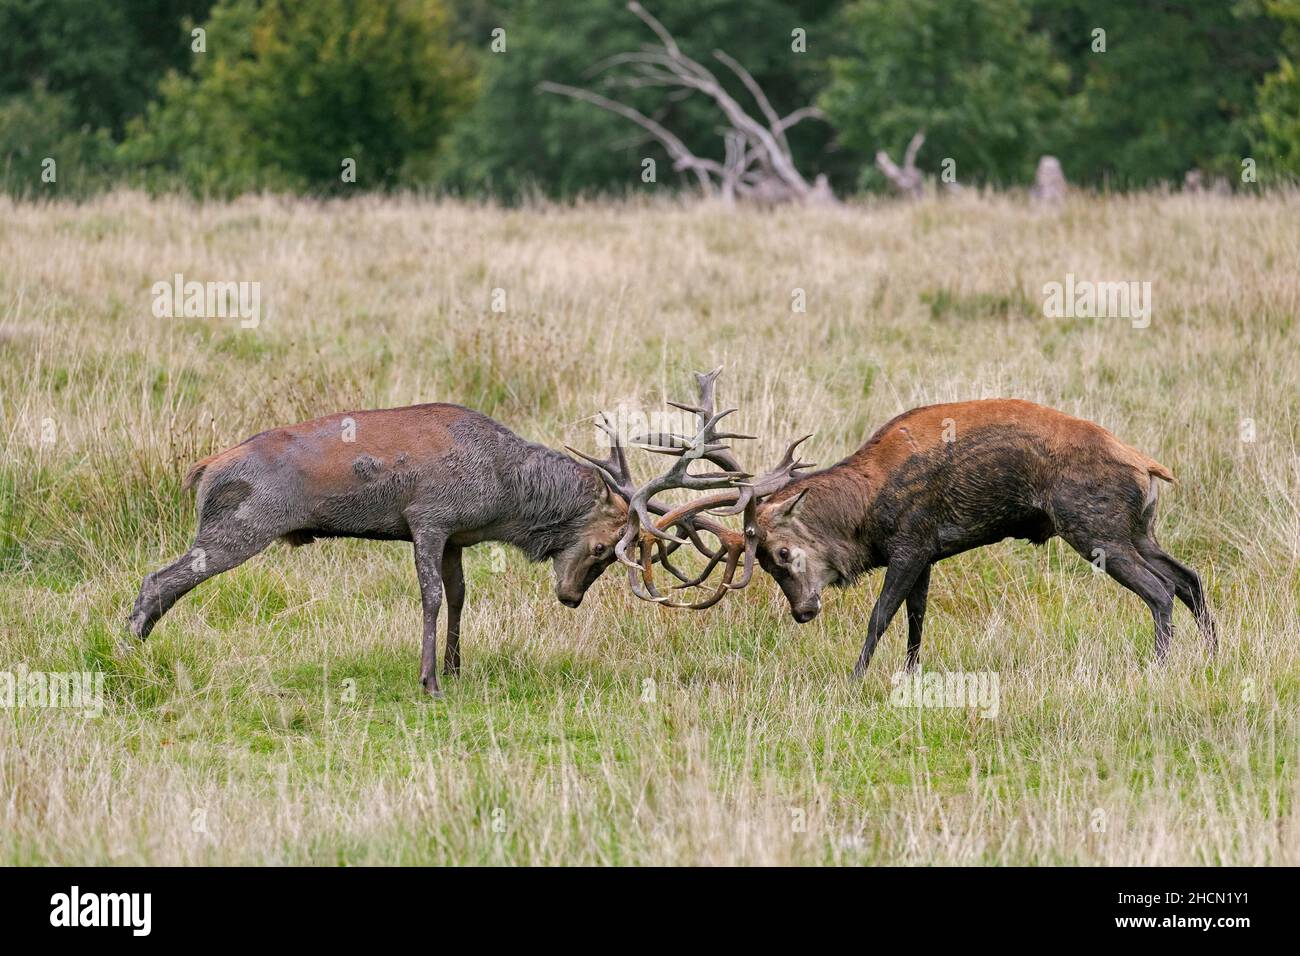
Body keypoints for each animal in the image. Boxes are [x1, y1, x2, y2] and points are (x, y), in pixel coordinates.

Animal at [126, 399, 731, 697]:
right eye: (606, 547)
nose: (570, 597)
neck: (502, 495)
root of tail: (204, 468)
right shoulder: (428, 518)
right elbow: (432, 598)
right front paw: (430, 681)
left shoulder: (457, 536)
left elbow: (460, 596)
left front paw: (457, 668)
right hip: (243, 526)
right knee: (160, 579)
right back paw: (130, 648)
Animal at [624, 382, 1218, 677]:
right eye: (767, 564)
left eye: (782, 554)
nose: (803, 611)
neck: (866, 512)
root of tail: (1148, 465)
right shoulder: (930, 553)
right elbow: (916, 621)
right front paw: (909, 675)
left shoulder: (910, 541)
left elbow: (879, 616)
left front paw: (857, 677)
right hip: (1138, 530)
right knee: (1188, 577)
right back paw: (1213, 654)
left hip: (1095, 528)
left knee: (1160, 590)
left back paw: (1158, 667)